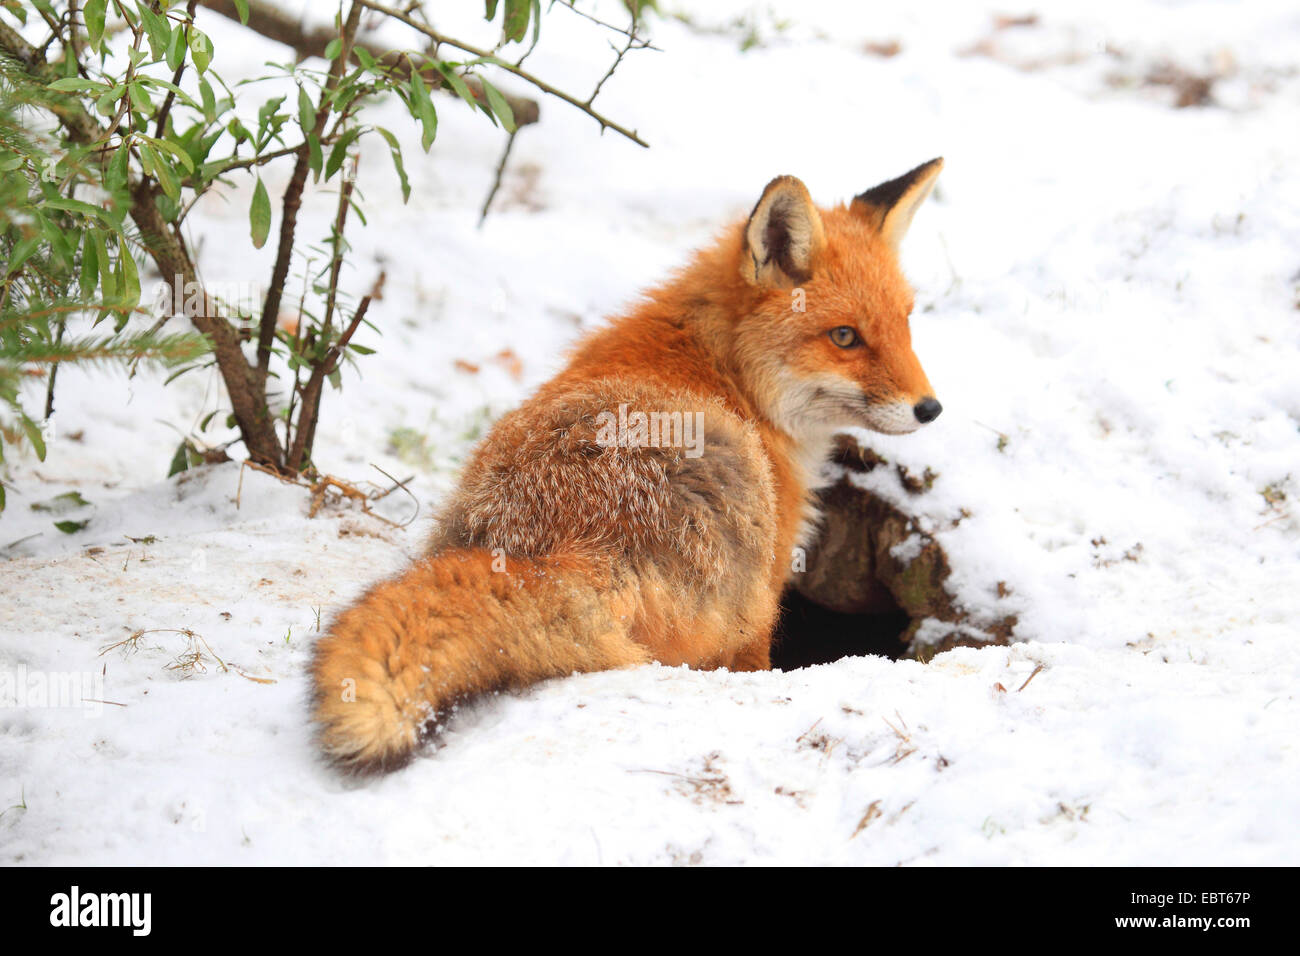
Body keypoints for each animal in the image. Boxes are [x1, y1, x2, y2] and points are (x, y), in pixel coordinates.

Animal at [309, 158, 946, 774]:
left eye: (907, 324)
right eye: (845, 337)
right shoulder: (770, 576)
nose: (931, 408)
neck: (729, 369)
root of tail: (567, 540)